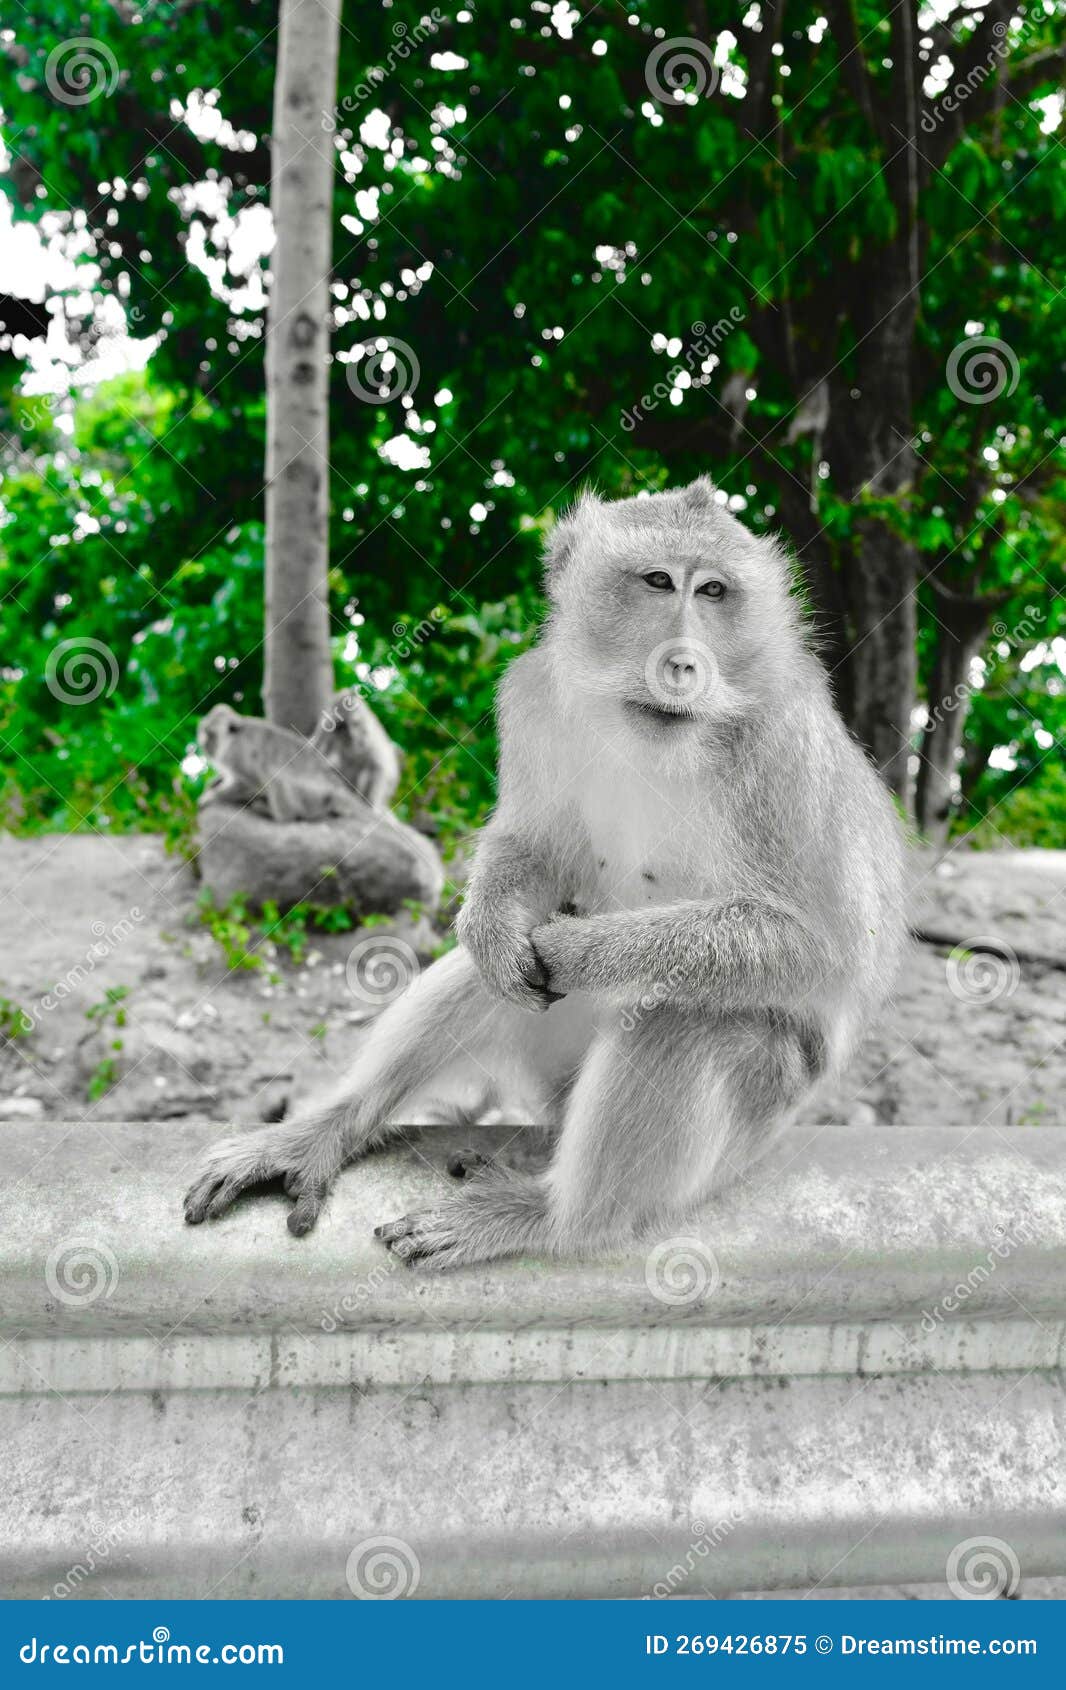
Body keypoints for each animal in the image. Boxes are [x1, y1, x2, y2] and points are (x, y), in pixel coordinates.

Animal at [197, 703, 367, 823]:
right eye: (203, 731)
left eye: (210, 734)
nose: (203, 743)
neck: (233, 738)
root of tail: (340, 791)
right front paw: (214, 783)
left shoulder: (237, 753)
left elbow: (251, 782)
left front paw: (211, 796)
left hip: (313, 798)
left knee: (271, 772)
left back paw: (277, 814)